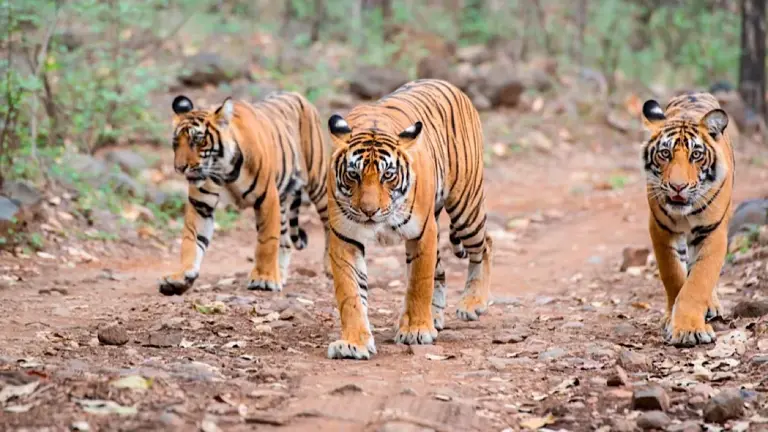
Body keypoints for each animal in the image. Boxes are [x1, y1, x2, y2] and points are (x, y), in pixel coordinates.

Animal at [158, 91, 330, 296]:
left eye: (198, 140)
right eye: (176, 142)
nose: (180, 168)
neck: (223, 171)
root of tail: (297, 94)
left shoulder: (267, 198)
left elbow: (266, 242)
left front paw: (264, 279)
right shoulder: (201, 206)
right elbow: (191, 240)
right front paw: (181, 277)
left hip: (318, 183)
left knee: (329, 224)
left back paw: (328, 267)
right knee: (286, 241)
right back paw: (280, 275)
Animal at [324, 79, 493, 360]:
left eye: (388, 175)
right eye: (353, 175)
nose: (369, 211)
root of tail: (447, 84)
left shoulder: (422, 232)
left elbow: (419, 283)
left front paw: (416, 330)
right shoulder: (345, 237)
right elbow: (350, 294)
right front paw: (353, 343)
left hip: (465, 207)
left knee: (485, 245)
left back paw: (472, 304)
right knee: (441, 270)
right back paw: (435, 317)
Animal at [641, 92, 734, 347]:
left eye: (696, 155)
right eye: (665, 154)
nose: (678, 186)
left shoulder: (712, 232)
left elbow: (699, 280)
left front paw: (689, 329)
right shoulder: (660, 229)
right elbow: (673, 275)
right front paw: (673, 320)